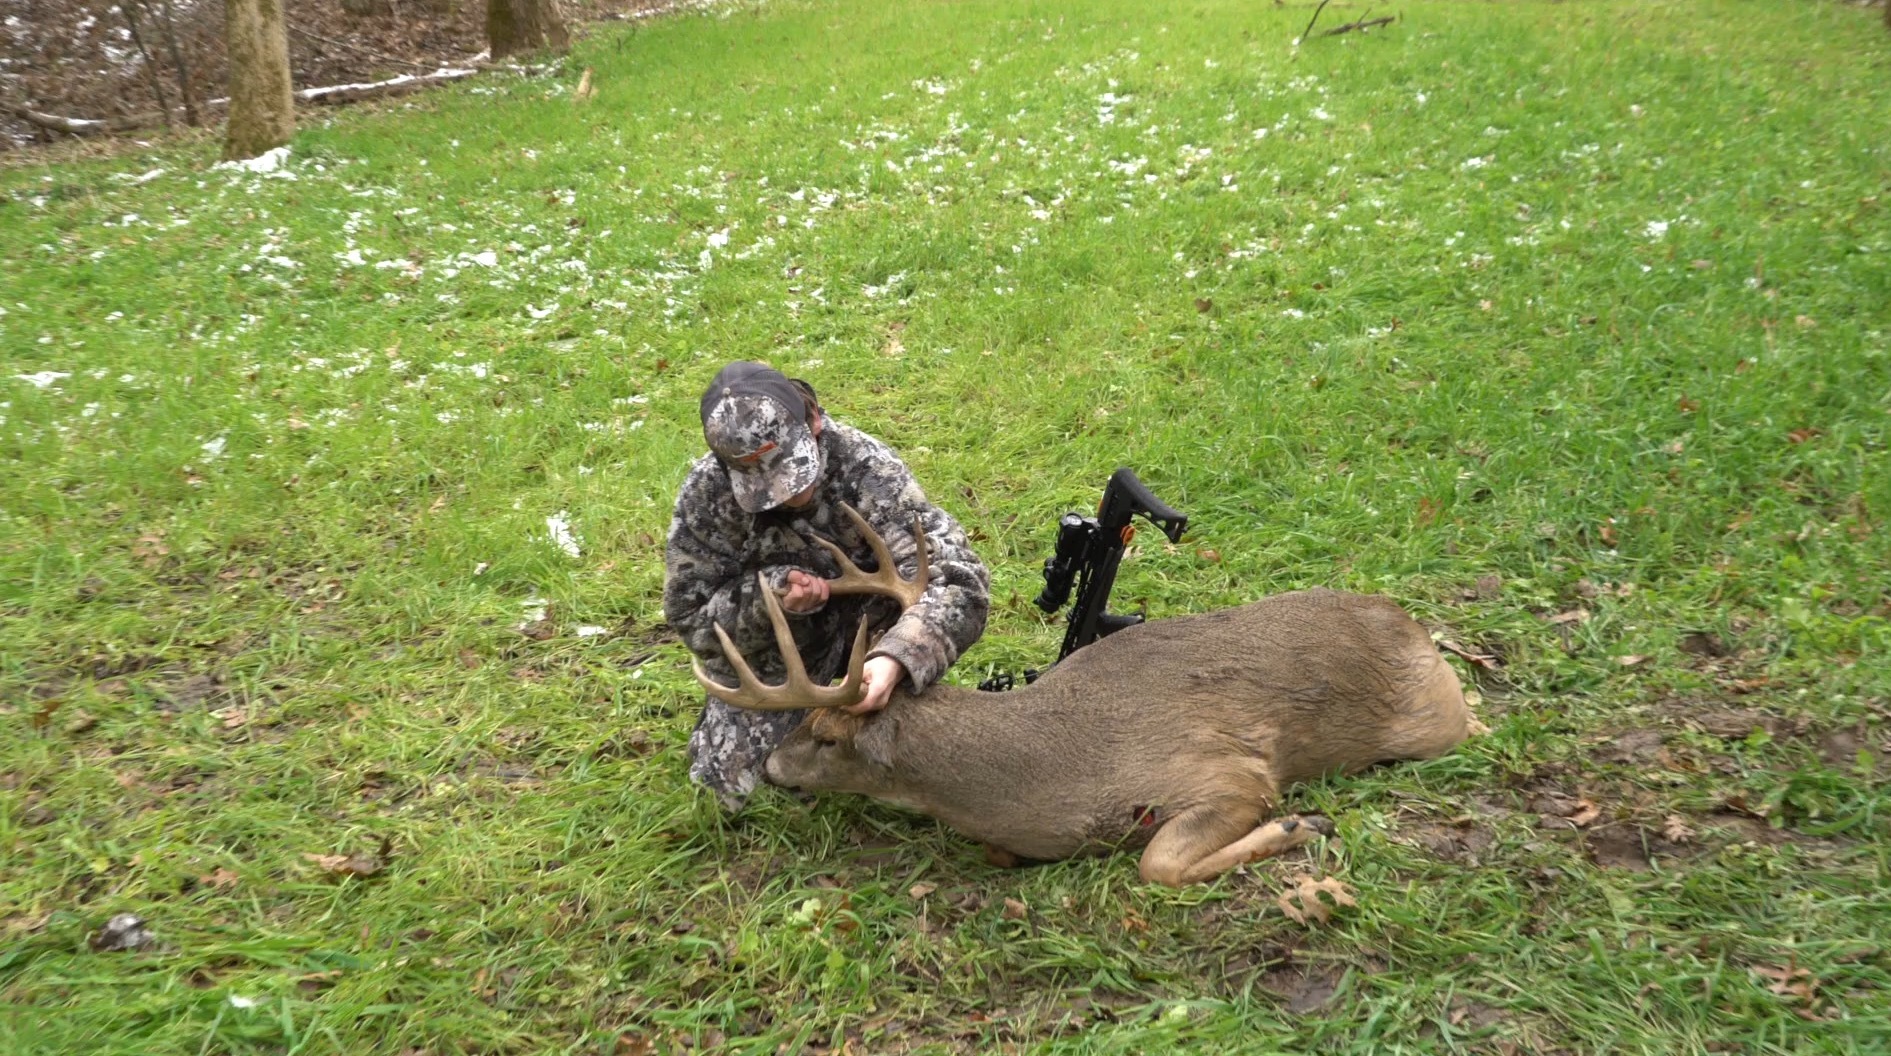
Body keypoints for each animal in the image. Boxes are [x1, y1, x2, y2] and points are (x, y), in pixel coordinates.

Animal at [693, 505, 1481, 887]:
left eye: (827, 736)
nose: (771, 767)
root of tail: (1409, 622)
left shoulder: (1230, 774)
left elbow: (1157, 864)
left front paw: (1300, 825)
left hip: (1435, 723)